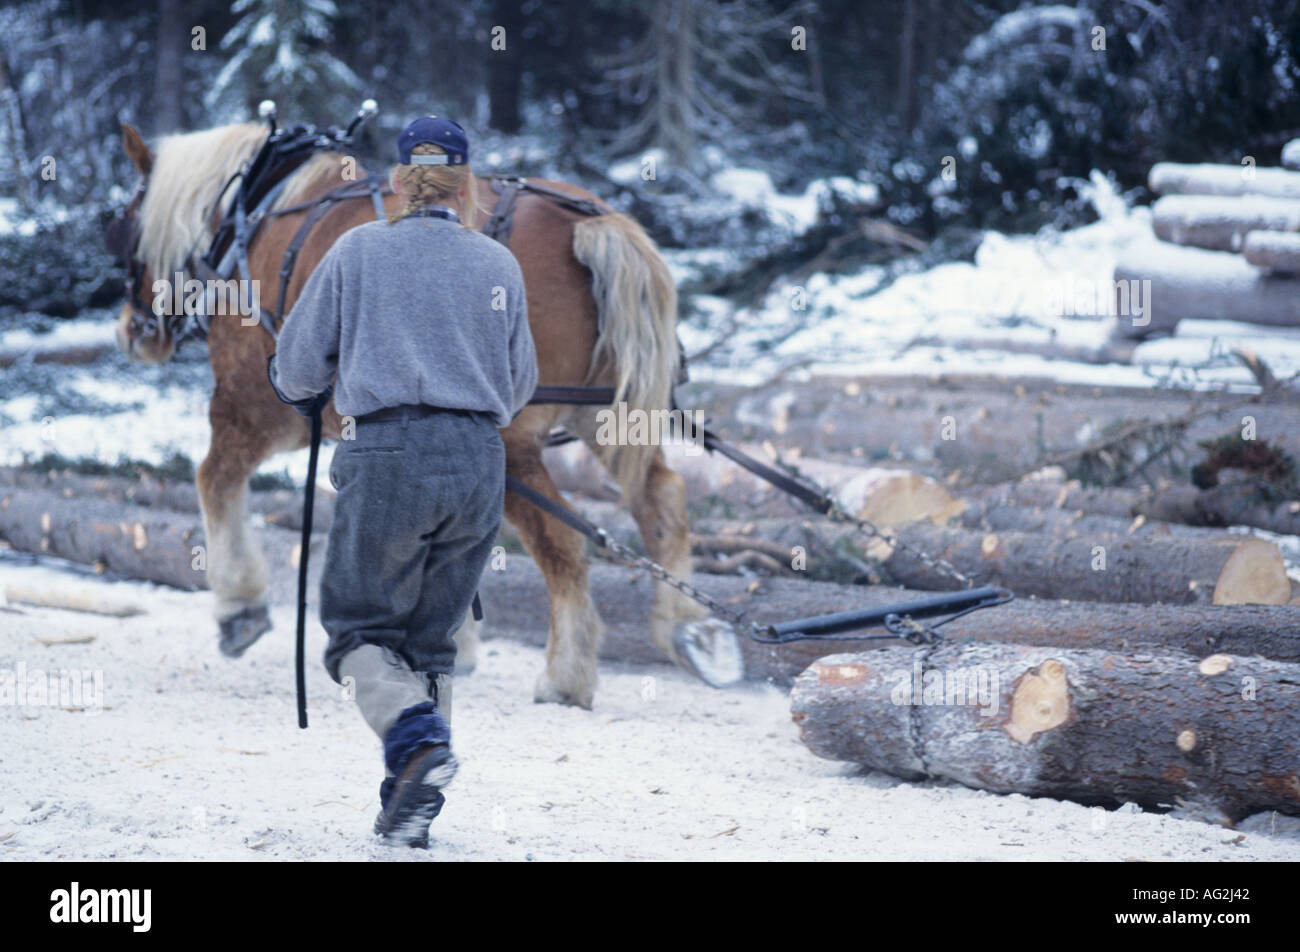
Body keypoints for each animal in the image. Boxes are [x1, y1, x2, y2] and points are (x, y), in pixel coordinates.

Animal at [109, 119, 734, 709]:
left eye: (127, 221)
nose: (130, 330)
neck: (256, 211)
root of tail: (590, 223)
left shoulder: (256, 405)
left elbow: (214, 478)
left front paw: (239, 607)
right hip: (605, 415)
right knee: (661, 498)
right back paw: (692, 630)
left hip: (513, 444)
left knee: (564, 541)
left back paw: (567, 675)